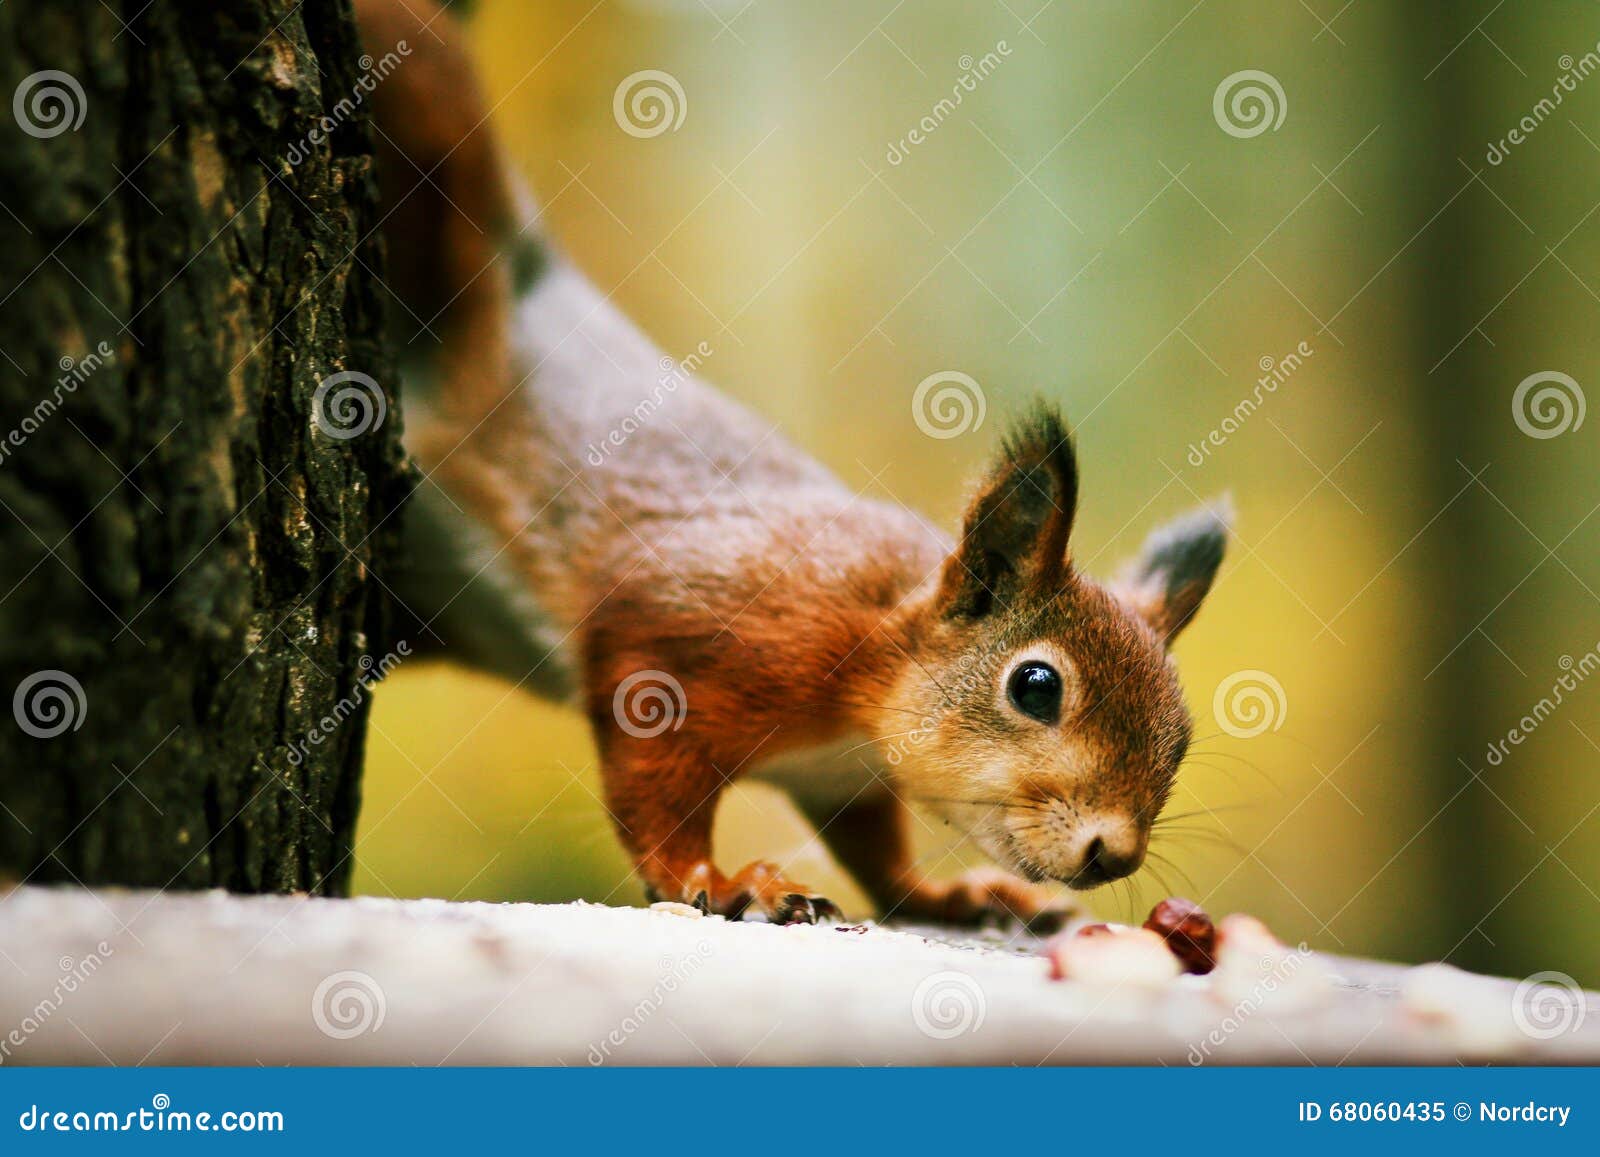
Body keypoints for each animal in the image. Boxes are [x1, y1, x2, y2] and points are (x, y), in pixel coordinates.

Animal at [353, 0, 1229, 928]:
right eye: (1035, 685)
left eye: (1182, 735)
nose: (1114, 853)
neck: (871, 666)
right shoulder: (679, 638)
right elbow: (654, 792)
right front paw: (718, 877)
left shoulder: (845, 779)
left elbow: (877, 853)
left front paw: (946, 895)